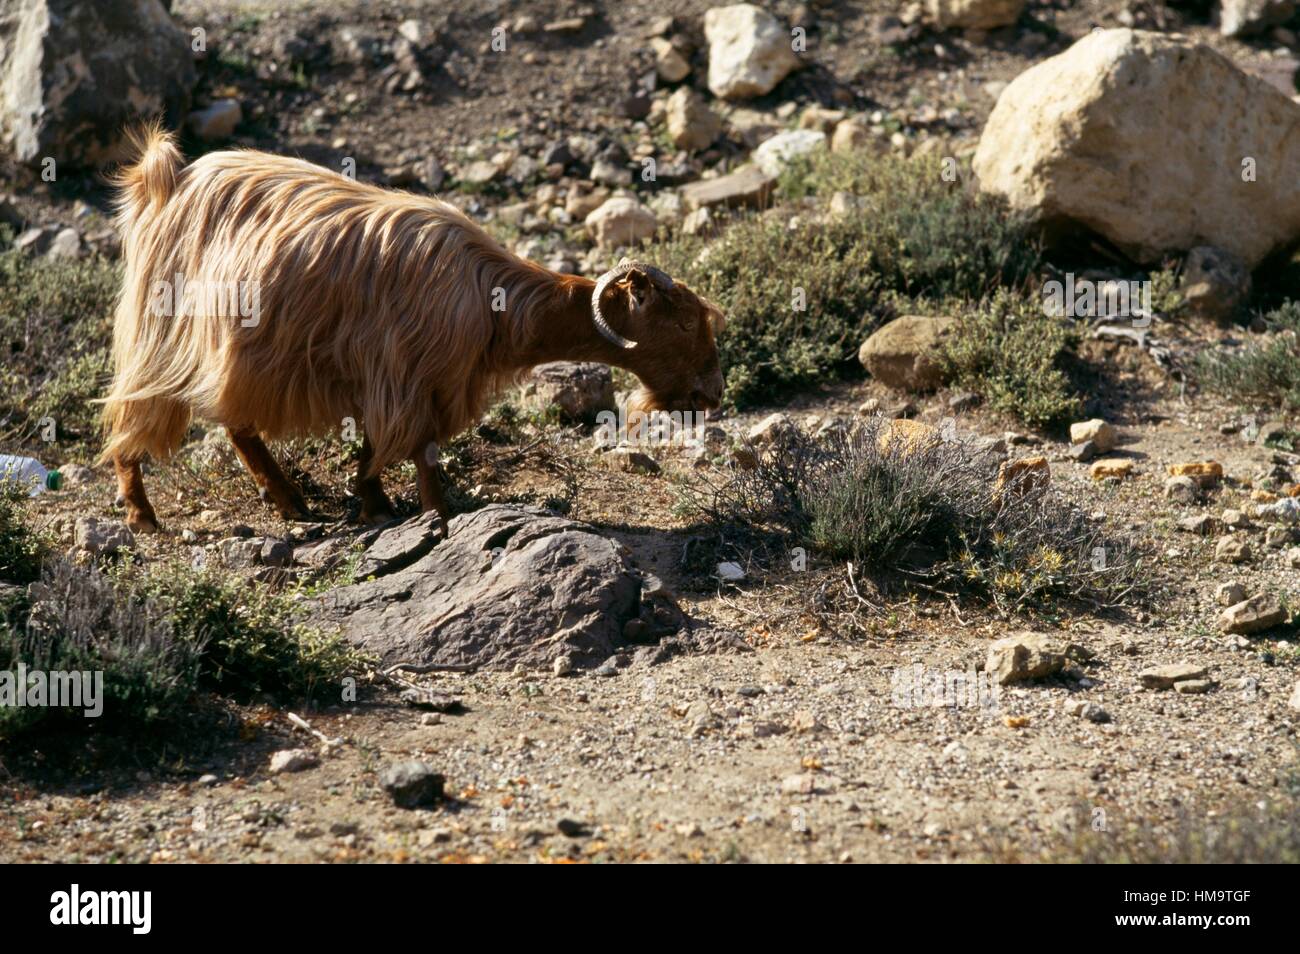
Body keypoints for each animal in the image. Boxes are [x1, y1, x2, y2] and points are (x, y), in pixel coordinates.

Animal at [98, 126, 726, 534]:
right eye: (684, 320)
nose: (712, 393)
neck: (494, 301)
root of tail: (170, 177)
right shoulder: (406, 377)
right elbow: (419, 453)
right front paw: (436, 517)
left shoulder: (404, 380)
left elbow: (378, 447)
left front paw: (374, 502)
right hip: (163, 333)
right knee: (138, 415)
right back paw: (143, 515)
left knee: (236, 425)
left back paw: (289, 501)